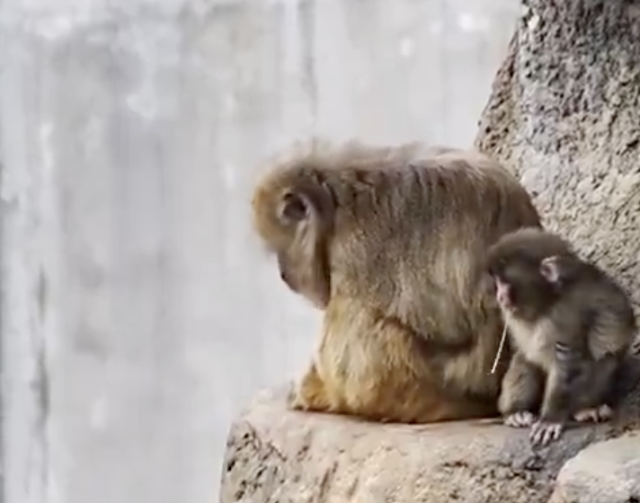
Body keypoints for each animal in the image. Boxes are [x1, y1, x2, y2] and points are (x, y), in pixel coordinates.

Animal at [485, 227, 637, 446]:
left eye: (505, 282)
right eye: (497, 282)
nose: (500, 296)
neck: (549, 299)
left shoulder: (565, 315)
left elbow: (567, 362)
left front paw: (551, 419)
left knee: (604, 360)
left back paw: (583, 408)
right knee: (525, 360)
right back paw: (516, 412)